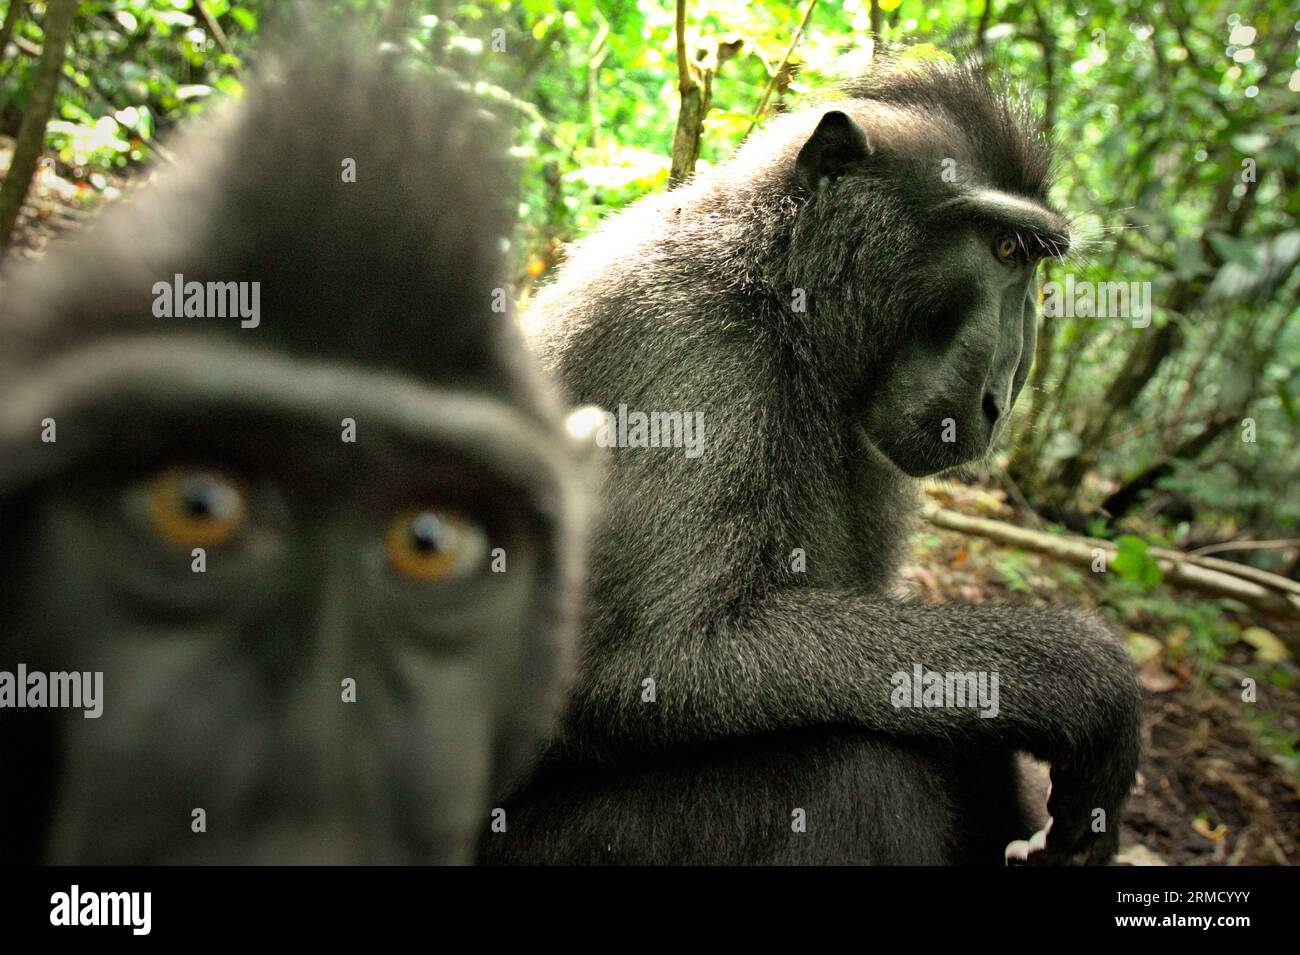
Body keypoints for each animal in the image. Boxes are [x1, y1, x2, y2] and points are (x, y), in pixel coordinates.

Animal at [483, 58, 1142, 865]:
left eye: (1032, 259)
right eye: (1004, 251)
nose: (1005, 392)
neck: (777, 289)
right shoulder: (684, 345)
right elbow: (647, 660)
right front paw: (1086, 679)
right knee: (852, 774)